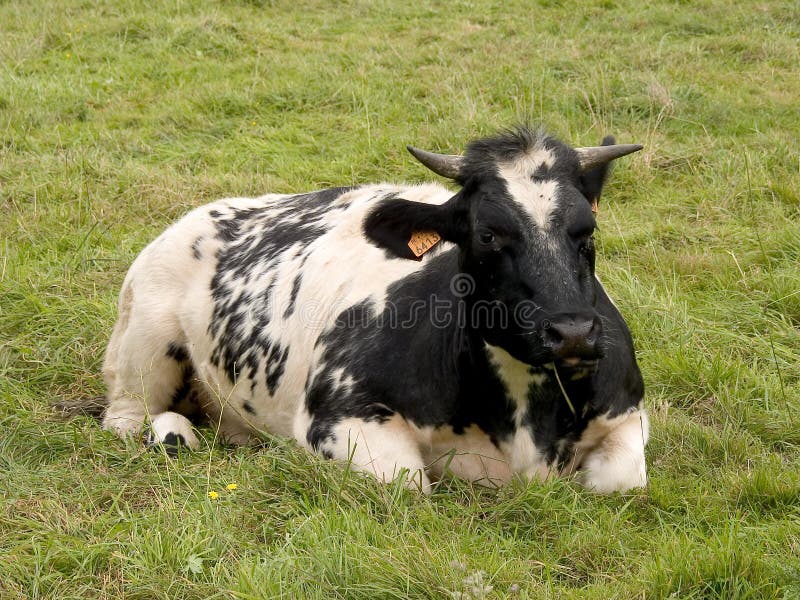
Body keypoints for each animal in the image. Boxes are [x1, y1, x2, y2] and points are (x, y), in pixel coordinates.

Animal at [100, 126, 648, 494]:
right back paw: (171, 434)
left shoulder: (628, 413)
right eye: (488, 234)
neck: (524, 425)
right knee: (127, 416)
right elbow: (410, 484)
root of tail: (196, 215)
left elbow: (622, 482)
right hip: (144, 343)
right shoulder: (335, 418)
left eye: (587, 231)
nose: (572, 332)